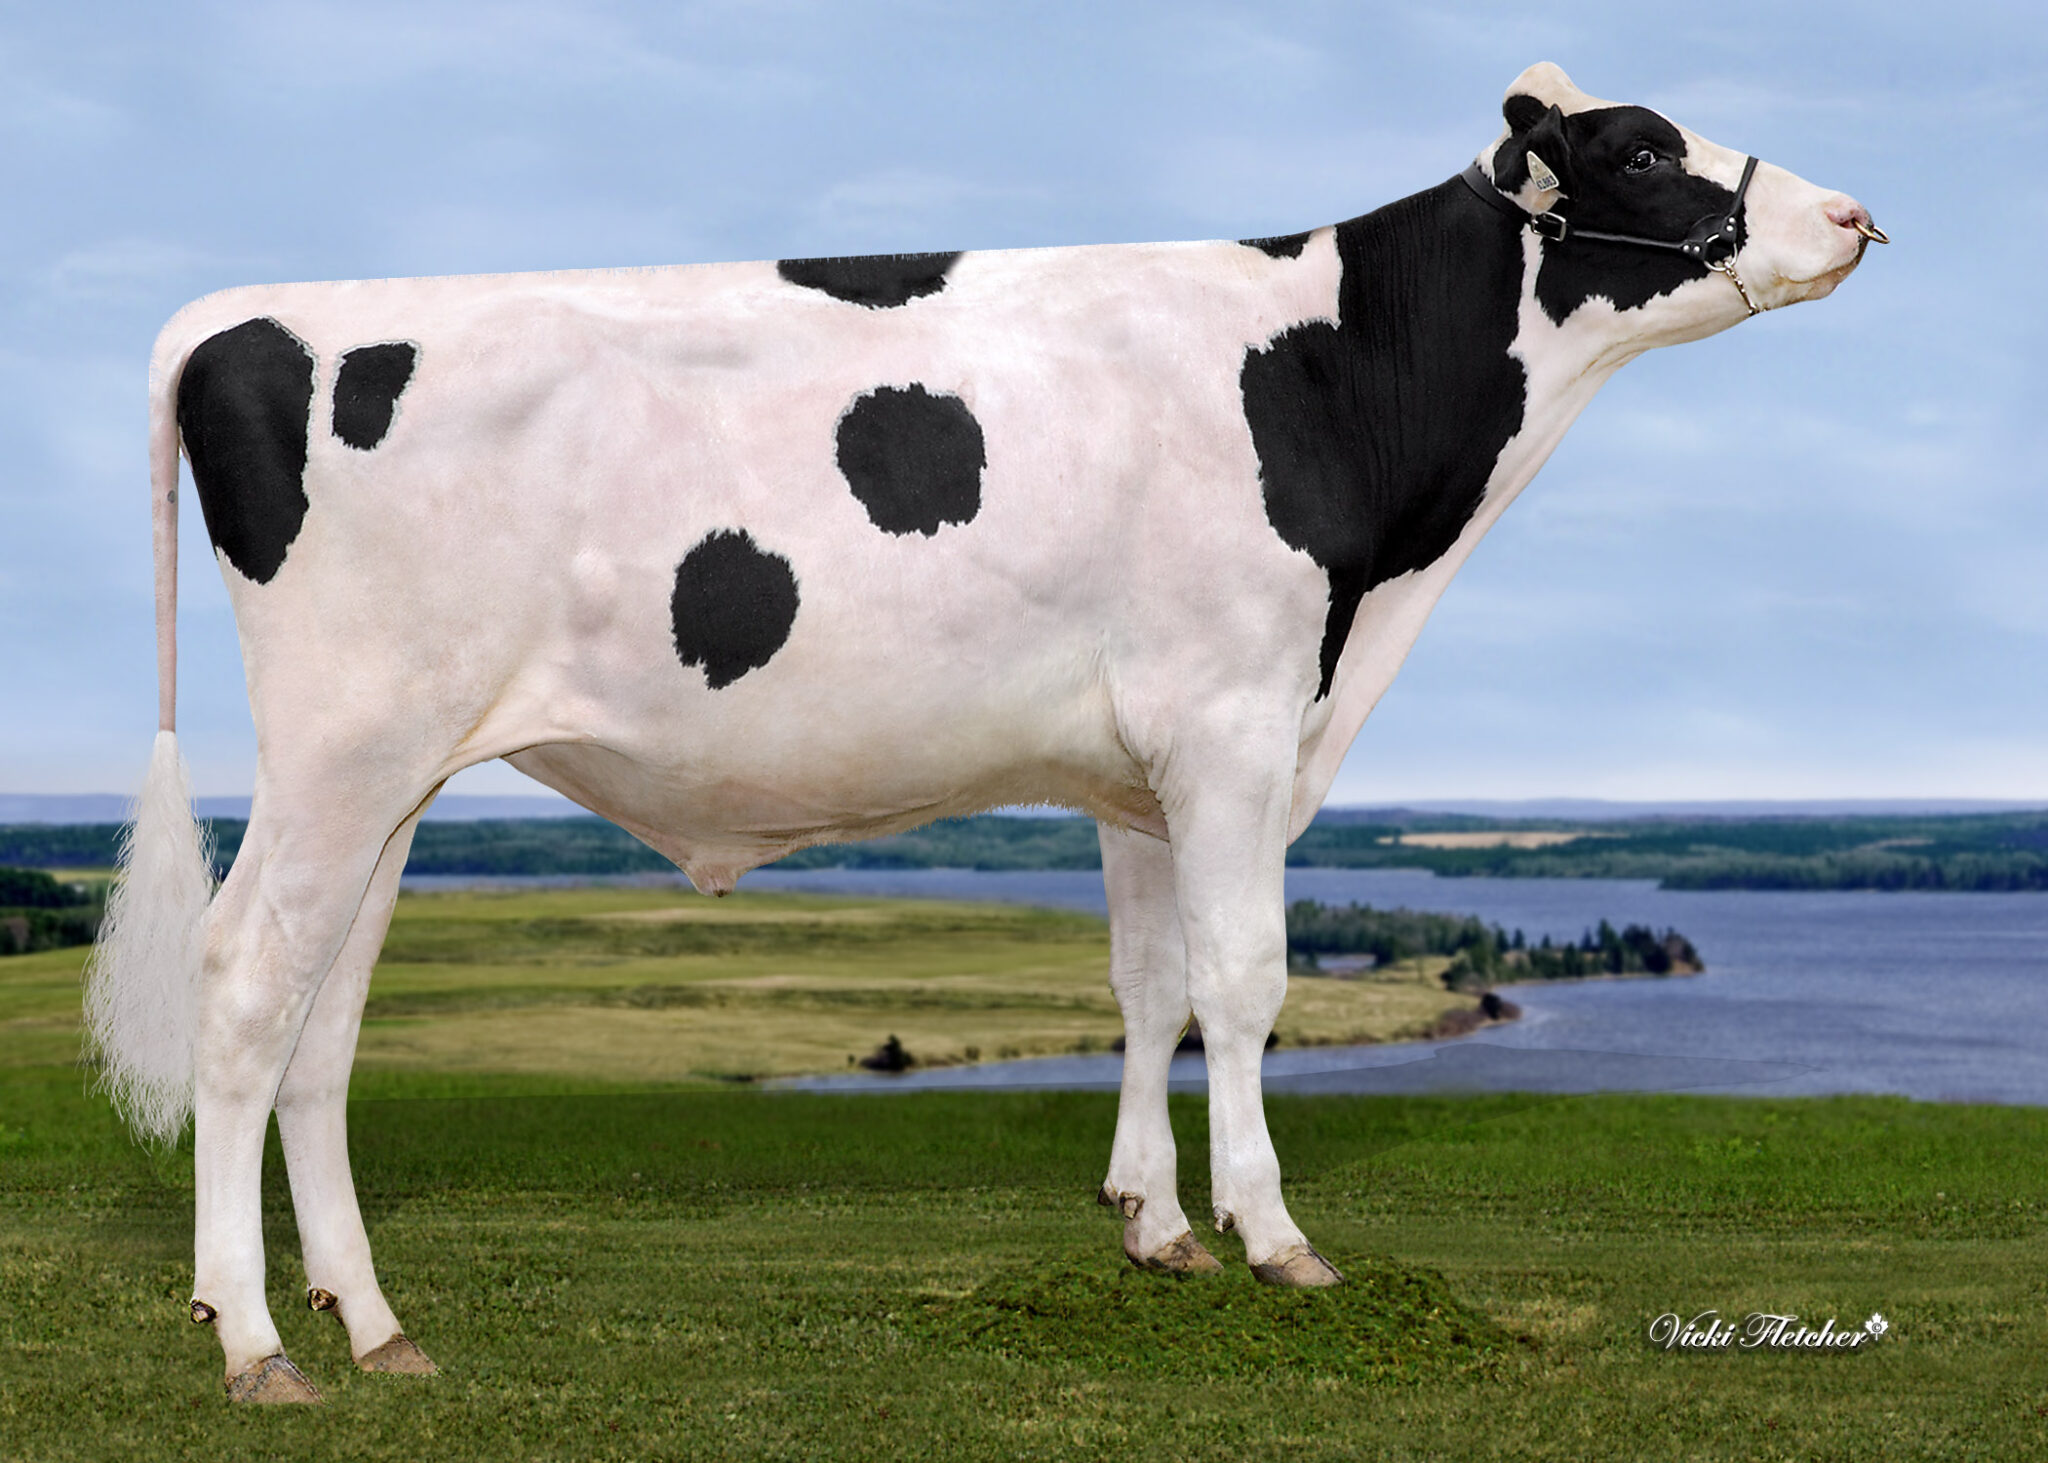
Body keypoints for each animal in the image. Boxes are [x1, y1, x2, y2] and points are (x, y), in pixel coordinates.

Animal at [85, 63, 1881, 1401]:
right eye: (1641, 147)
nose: (1855, 214)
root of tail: (239, 312)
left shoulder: (1139, 769)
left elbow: (1149, 985)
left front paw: (1153, 1225)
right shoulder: (1231, 722)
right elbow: (1246, 983)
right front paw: (1271, 1235)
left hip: (395, 772)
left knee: (321, 1020)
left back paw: (370, 1320)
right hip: (342, 745)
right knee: (241, 980)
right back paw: (252, 1336)